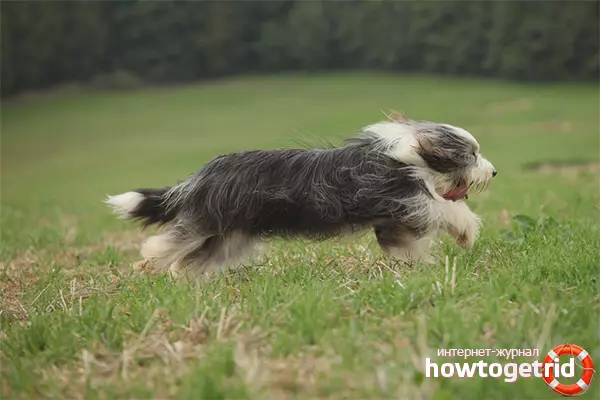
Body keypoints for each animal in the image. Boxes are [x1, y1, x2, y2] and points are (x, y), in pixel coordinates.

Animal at [104, 111, 496, 276]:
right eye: (471, 155)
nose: (493, 171)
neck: (407, 155)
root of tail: (200, 176)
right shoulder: (403, 197)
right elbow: (444, 209)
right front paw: (467, 231)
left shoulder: (392, 218)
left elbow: (403, 244)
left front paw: (420, 266)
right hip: (208, 219)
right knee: (169, 242)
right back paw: (148, 265)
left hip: (231, 236)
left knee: (191, 260)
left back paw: (189, 284)